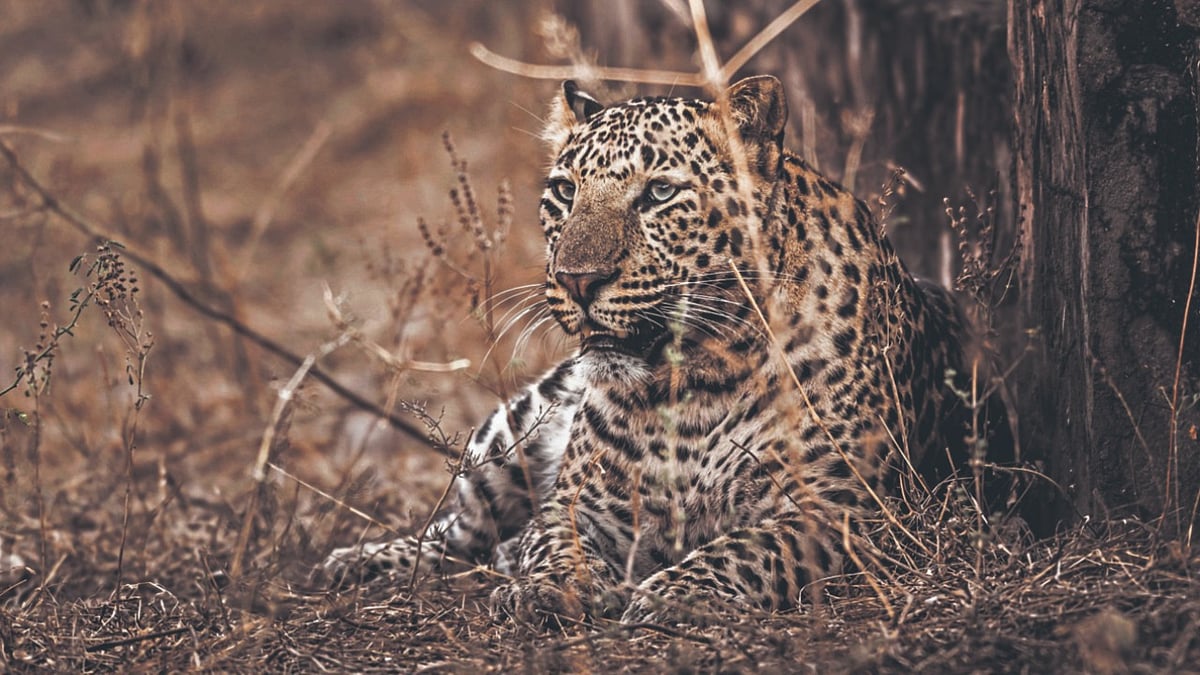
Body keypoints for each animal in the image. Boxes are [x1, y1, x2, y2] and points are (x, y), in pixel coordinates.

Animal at [323, 75, 995, 625]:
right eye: (564, 191)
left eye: (660, 193)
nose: (577, 279)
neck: (695, 380)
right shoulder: (579, 503)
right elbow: (556, 542)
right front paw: (547, 586)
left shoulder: (842, 512)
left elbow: (749, 549)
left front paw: (672, 594)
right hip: (505, 440)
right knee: (456, 533)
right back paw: (356, 561)